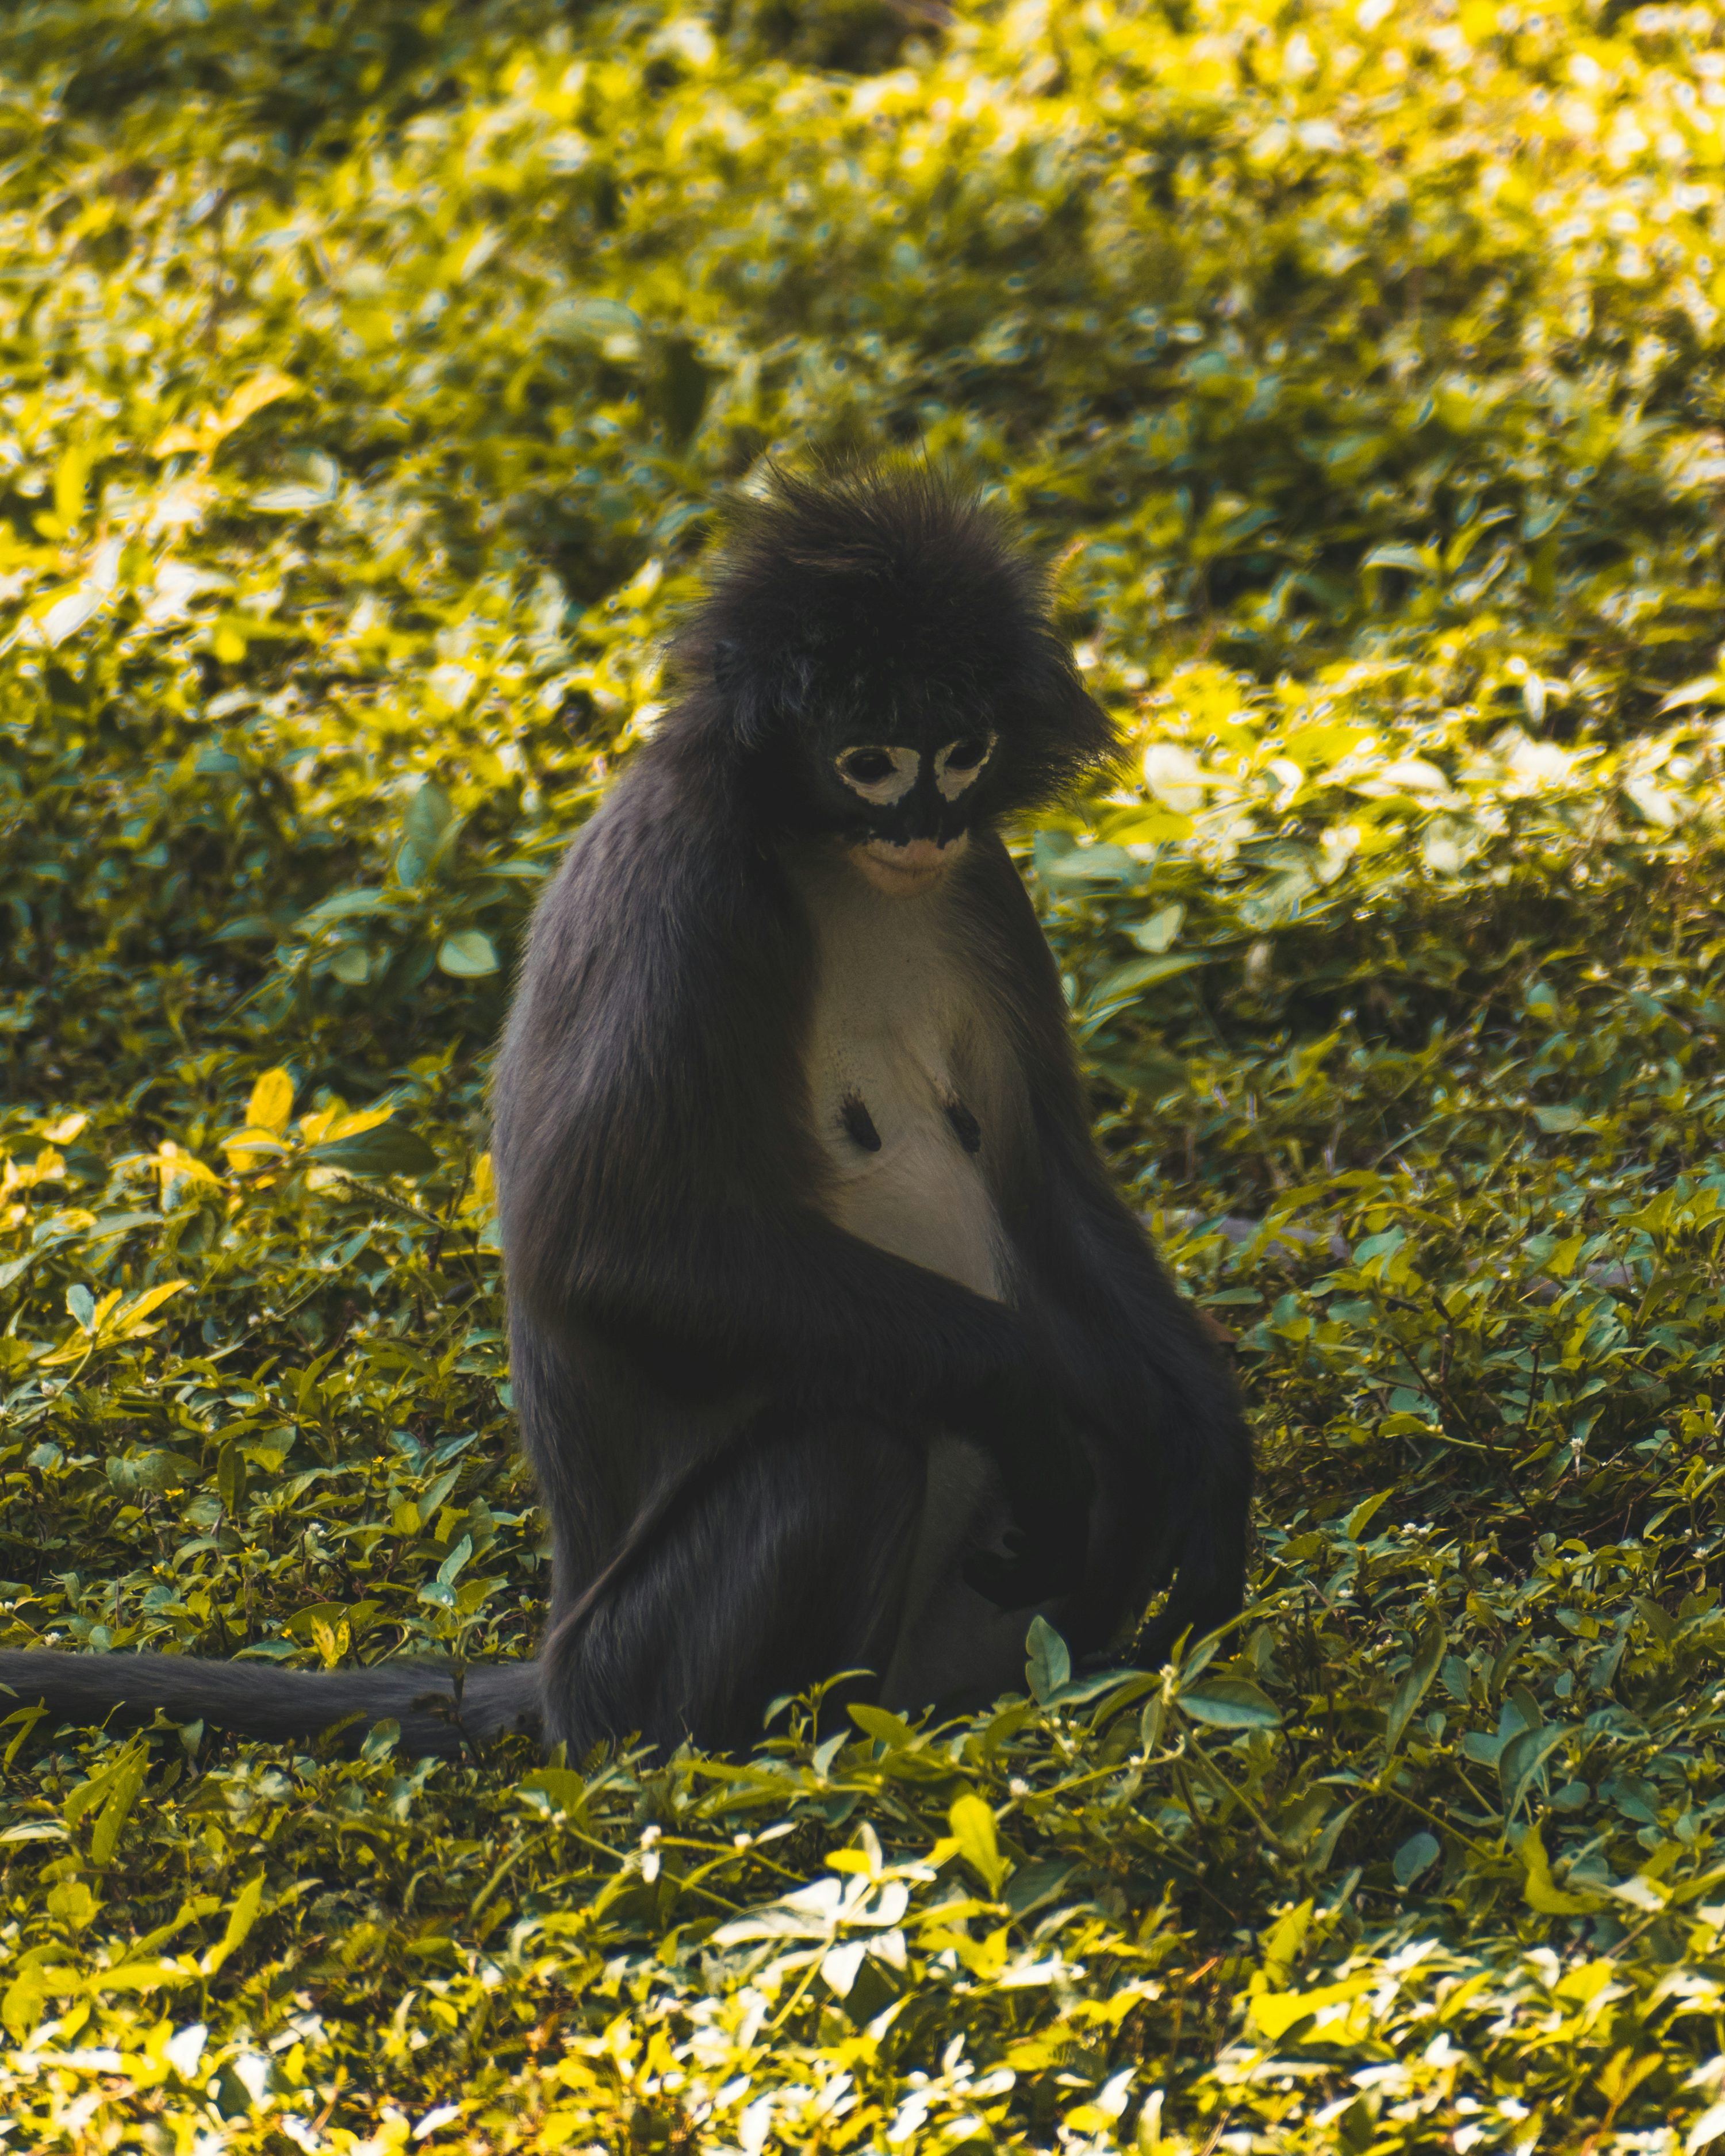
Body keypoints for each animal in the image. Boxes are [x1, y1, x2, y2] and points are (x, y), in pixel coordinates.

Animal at [0, 463, 1252, 1762]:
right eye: (866, 761)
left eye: (962, 753)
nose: (923, 826)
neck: (828, 858)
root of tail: (562, 1678)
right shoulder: (693, 885)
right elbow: (607, 1250)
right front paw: (1029, 1403)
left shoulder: (982, 884)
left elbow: (1044, 1181)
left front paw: (1217, 1465)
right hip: (640, 1670)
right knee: (854, 1448)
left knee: (1115, 1428)